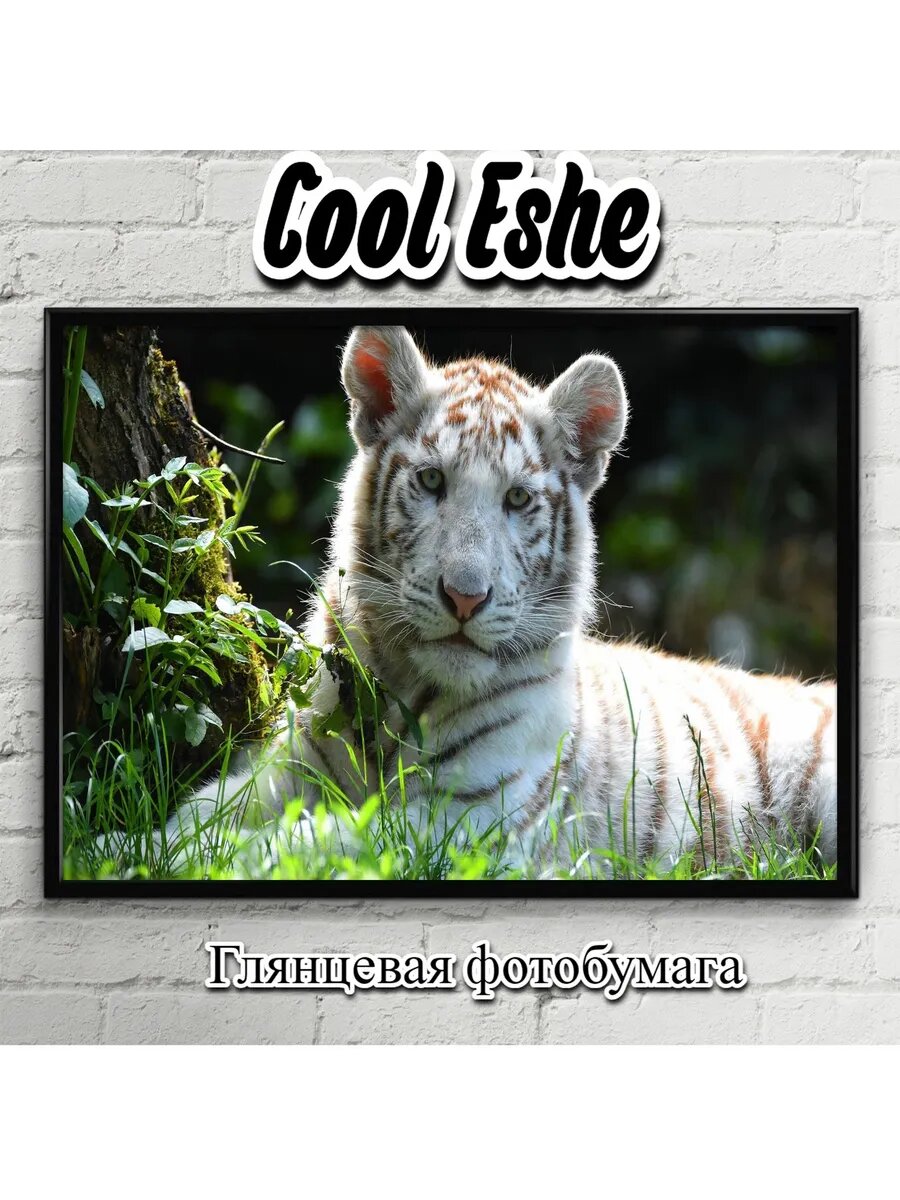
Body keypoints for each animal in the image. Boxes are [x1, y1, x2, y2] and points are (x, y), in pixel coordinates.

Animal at [156, 324, 838, 878]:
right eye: (432, 481)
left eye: (517, 499)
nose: (465, 597)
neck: (404, 699)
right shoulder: (284, 771)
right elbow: (198, 817)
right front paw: (141, 846)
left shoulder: (462, 825)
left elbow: (312, 839)